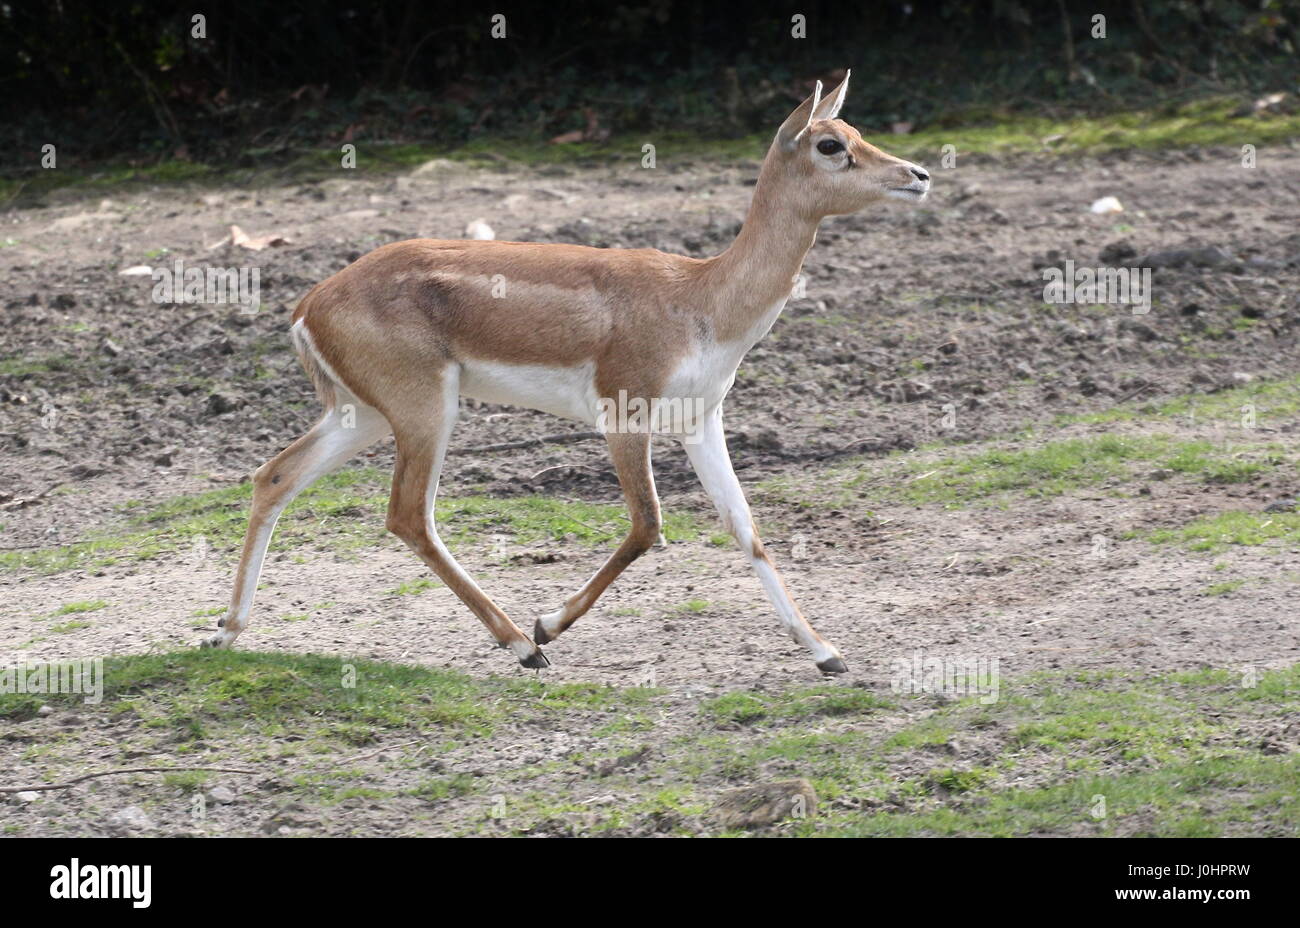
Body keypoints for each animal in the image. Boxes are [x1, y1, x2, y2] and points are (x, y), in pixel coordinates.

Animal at [201, 71, 930, 673]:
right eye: (830, 143)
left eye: (858, 131)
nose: (919, 173)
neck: (702, 298)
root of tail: (307, 305)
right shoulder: (622, 413)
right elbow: (649, 526)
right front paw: (547, 625)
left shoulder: (702, 420)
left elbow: (747, 530)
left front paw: (827, 653)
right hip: (424, 409)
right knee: (408, 514)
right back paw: (522, 646)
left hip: (363, 414)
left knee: (275, 476)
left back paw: (225, 631)